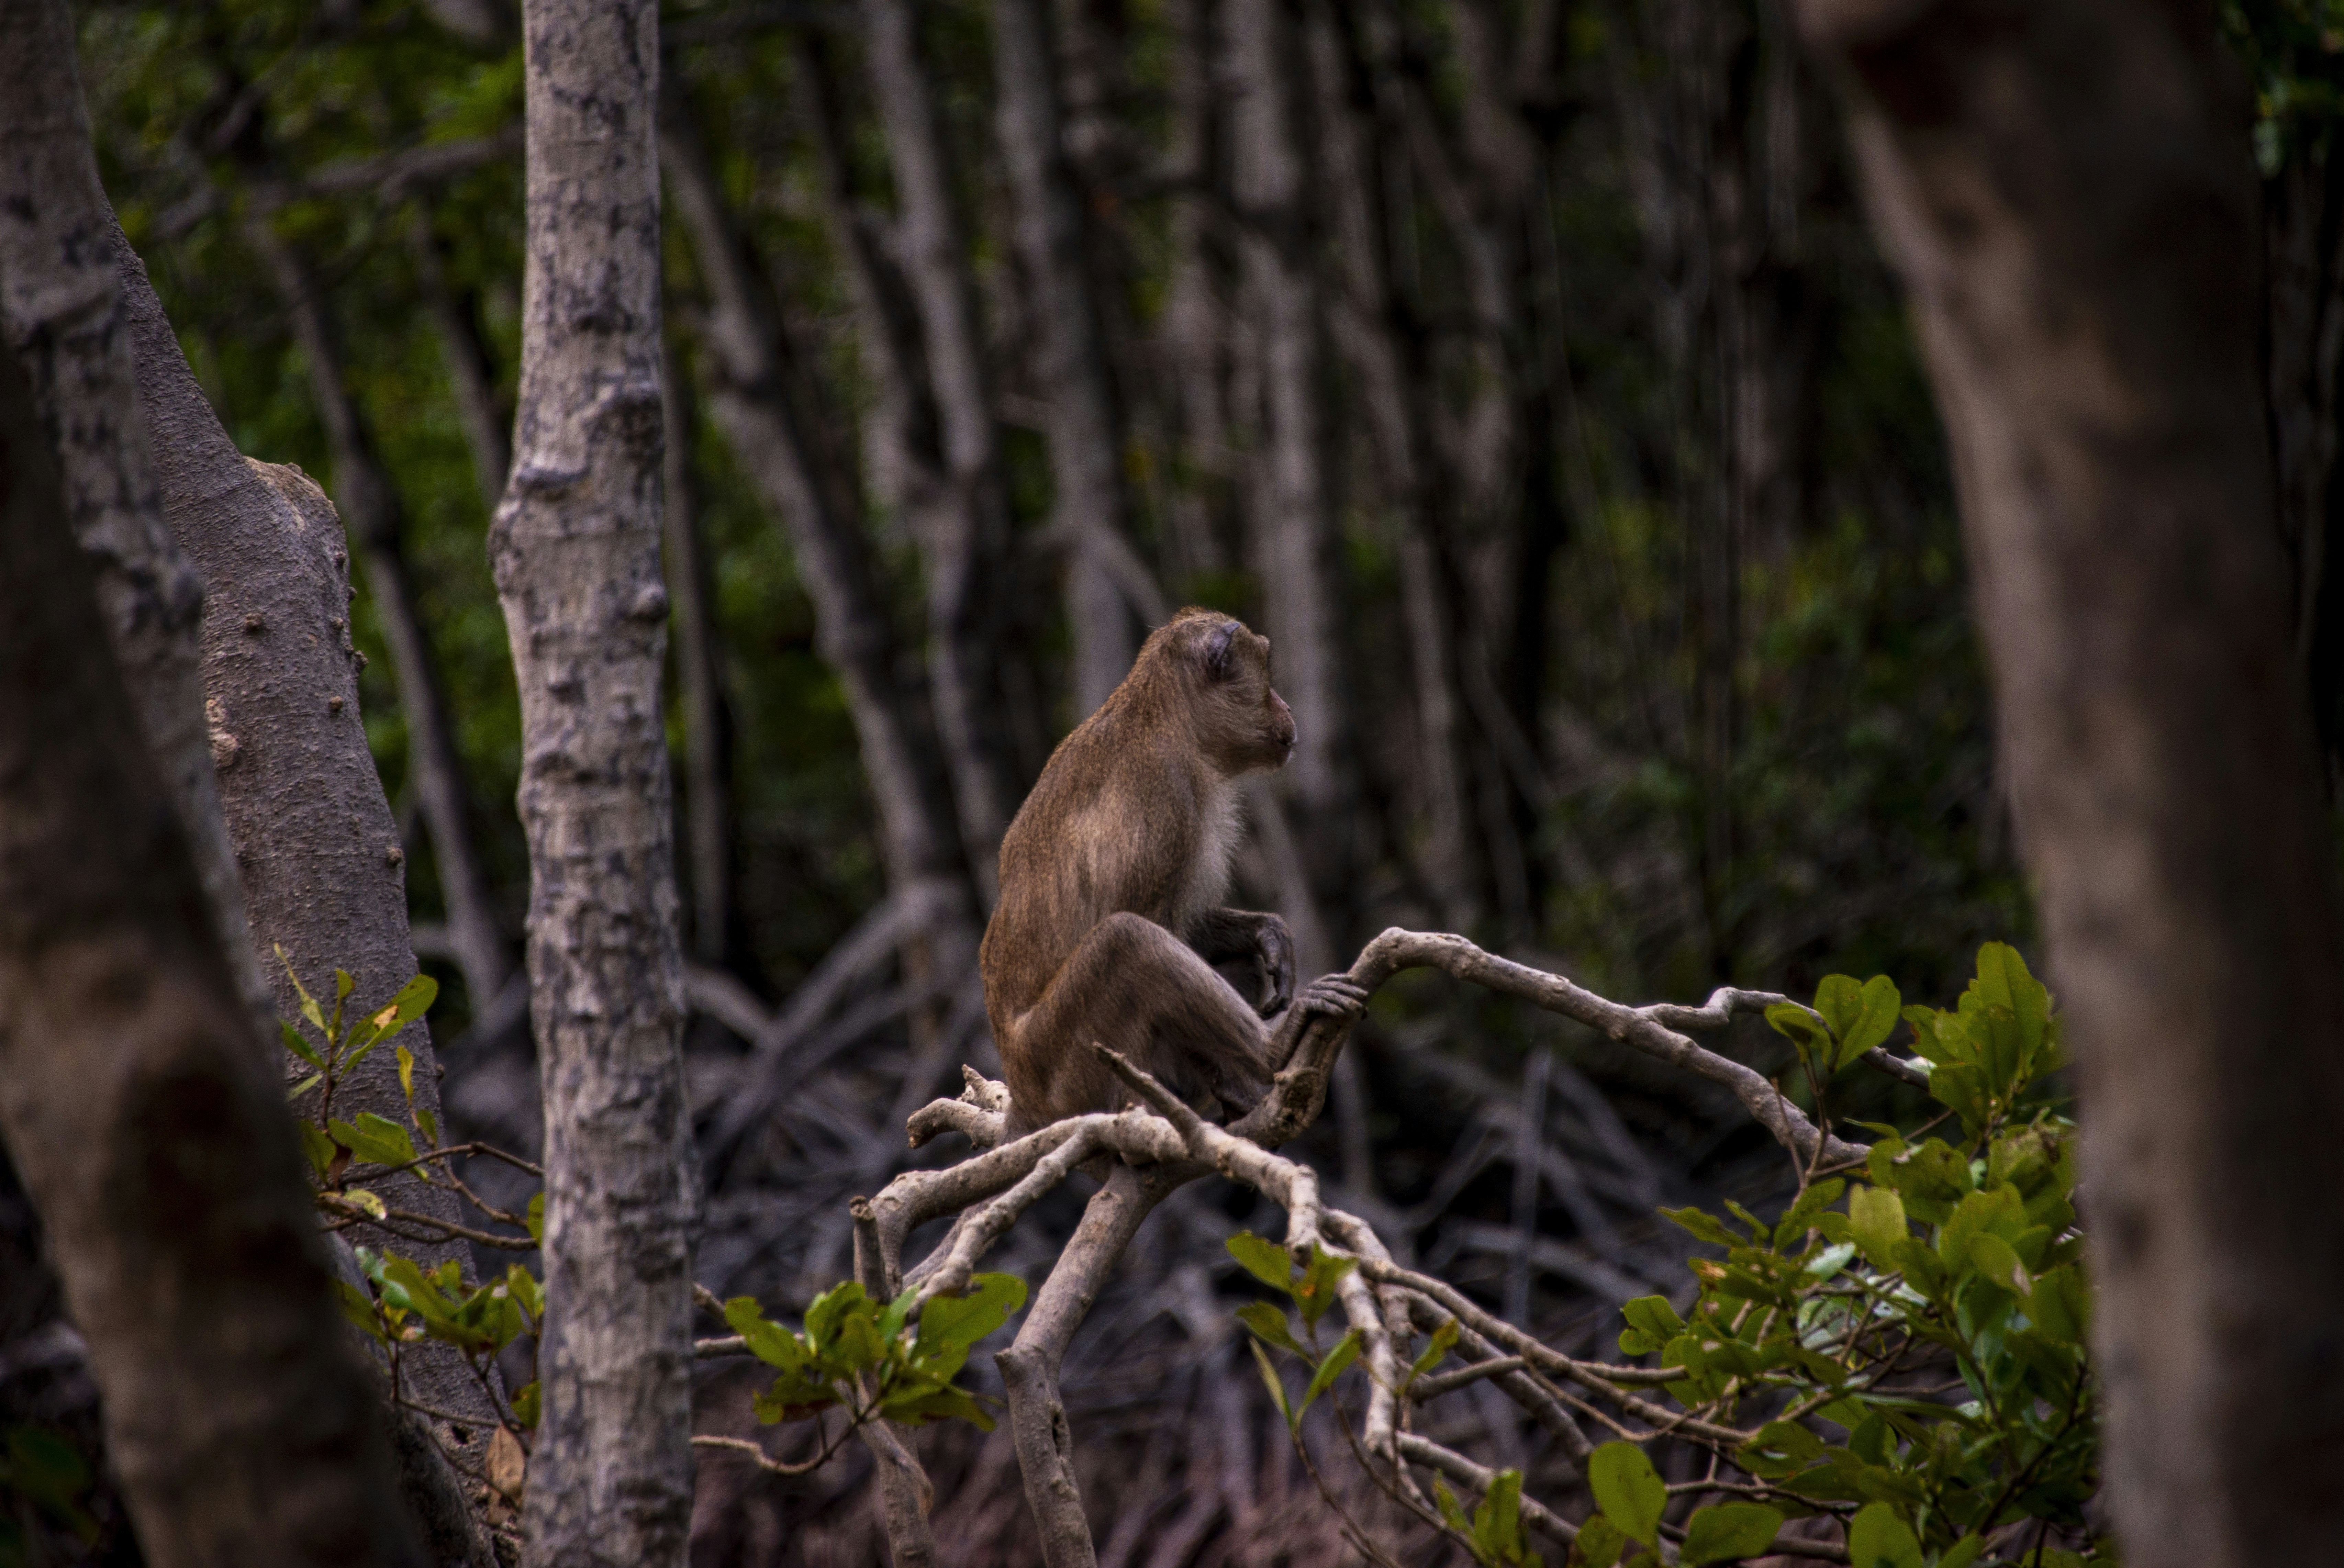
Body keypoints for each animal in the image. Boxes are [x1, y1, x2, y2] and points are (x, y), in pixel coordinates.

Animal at [980, 607, 1369, 1138]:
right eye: (1265, 674)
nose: (1286, 706)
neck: (1162, 717)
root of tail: (1024, 1096)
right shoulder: (1166, 797)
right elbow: (1149, 921)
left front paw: (1268, 932)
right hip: (1067, 1066)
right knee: (1125, 940)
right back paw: (1272, 1052)